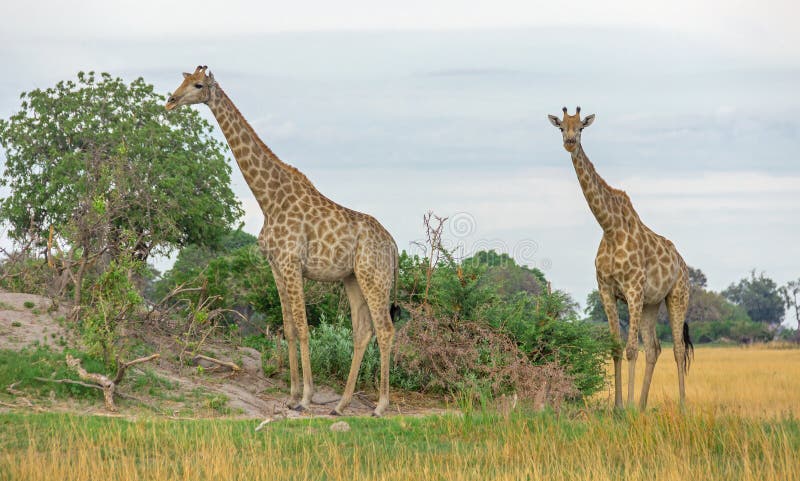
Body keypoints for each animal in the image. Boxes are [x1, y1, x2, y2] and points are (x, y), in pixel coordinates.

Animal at [166, 66, 399, 417]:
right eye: (181, 80)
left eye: (197, 84)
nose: (170, 101)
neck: (268, 199)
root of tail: (395, 246)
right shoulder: (276, 266)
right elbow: (288, 329)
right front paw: (291, 396)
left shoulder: (292, 263)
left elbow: (303, 327)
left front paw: (305, 398)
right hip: (353, 278)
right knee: (363, 331)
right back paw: (341, 404)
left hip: (375, 277)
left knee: (385, 330)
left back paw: (380, 406)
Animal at [548, 107, 693, 409]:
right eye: (561, 128)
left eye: (581, 127)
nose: (569, 142)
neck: (610, 227)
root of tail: (683, 264)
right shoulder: (606, 290)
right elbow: (615, 348)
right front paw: (618, 407)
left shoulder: (633, 289)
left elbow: (630, 350)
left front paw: (625, 408)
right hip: (652, 303)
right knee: (654, 348)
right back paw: (642, 406)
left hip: (677, 295)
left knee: (676, 348)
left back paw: (683, 407)